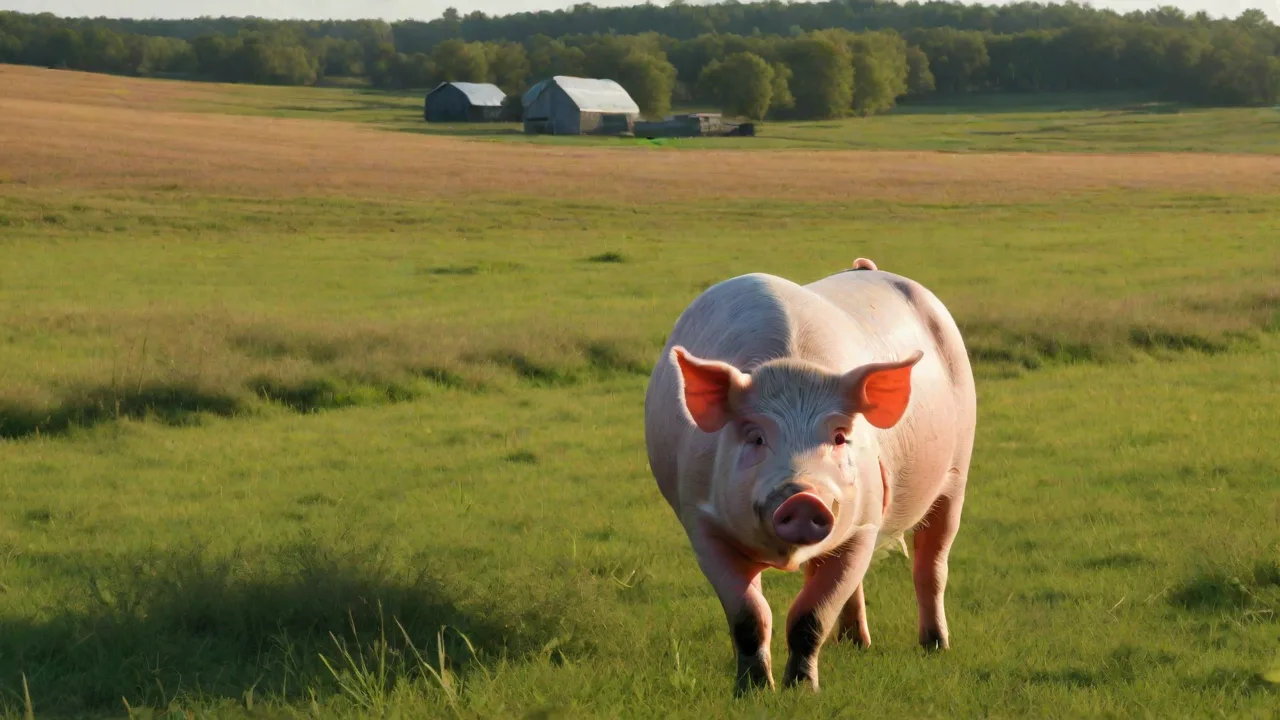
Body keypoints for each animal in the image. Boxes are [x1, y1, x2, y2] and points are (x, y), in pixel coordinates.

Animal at [643, 261, 976, 694]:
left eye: (839, 437)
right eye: (755, 437)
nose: (802, 497)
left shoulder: (865, 523)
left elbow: (811, 616)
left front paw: (802, 690)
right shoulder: (701, 522)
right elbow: (749, 616)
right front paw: (753, 690)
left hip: (958, 471)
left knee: (932, 564)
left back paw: (935, 646)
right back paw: (855, 644)